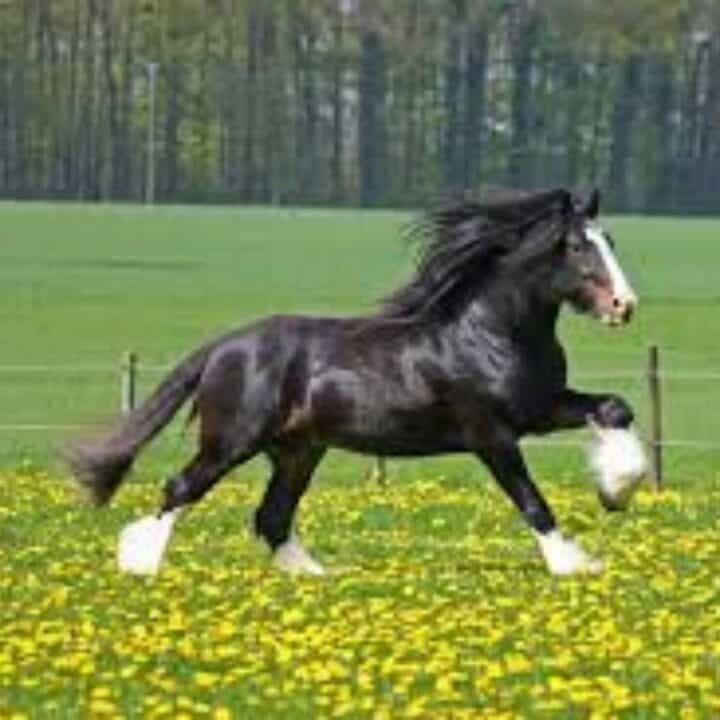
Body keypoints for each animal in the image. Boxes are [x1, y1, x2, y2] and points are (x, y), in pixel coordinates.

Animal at [68, 187, 647, 577]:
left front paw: (614, 492)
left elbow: (615, 408)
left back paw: (316, 576)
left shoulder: (542, 409)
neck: (491, 333)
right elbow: (529, 498)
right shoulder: (491, 433)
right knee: (181, 488)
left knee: (272, 516)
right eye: (576, 247)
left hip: (299, 449)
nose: (624, 305)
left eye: (611, 240)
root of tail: (224, 346)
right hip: (233, 441)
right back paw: (140, 562)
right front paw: (572, 561)